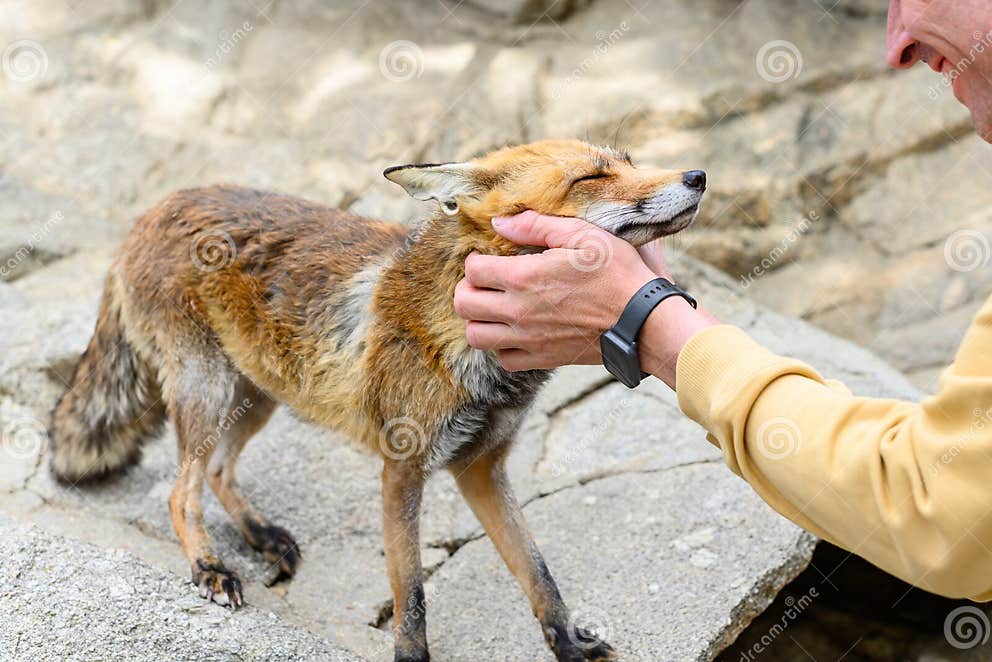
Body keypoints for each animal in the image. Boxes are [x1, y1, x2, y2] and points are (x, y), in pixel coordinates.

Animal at [49, 139, 705, 662]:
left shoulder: (481, 465)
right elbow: (410, 594)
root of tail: (156, 208)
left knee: (216, 471)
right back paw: (209, 566)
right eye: (590, 178)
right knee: (180, 492)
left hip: (259, 395)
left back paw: (260, 534)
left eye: (629, 162)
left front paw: (569, 644)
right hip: (208, 391)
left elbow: (537, 571)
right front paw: (411, 656)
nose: (698, 176)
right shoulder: (403, 466)